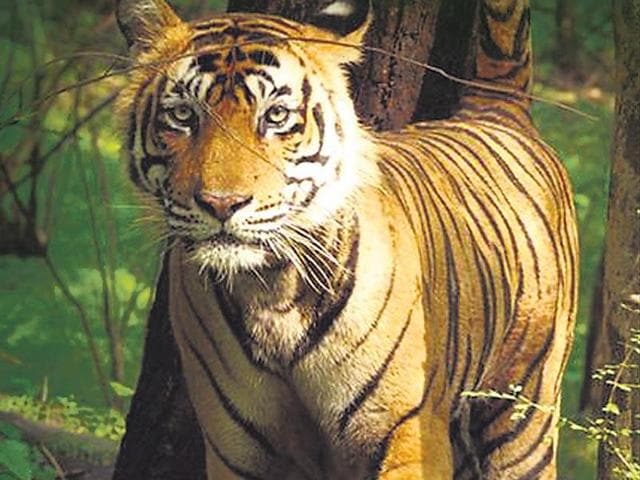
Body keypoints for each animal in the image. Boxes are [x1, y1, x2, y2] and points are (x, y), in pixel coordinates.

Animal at [115, 0, 578, 478]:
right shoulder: (239, 452)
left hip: (523, 419)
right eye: (183, 116)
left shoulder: (407, 430)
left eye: (275, 116)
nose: (222, 203)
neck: (271, 292)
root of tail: (494, 112)